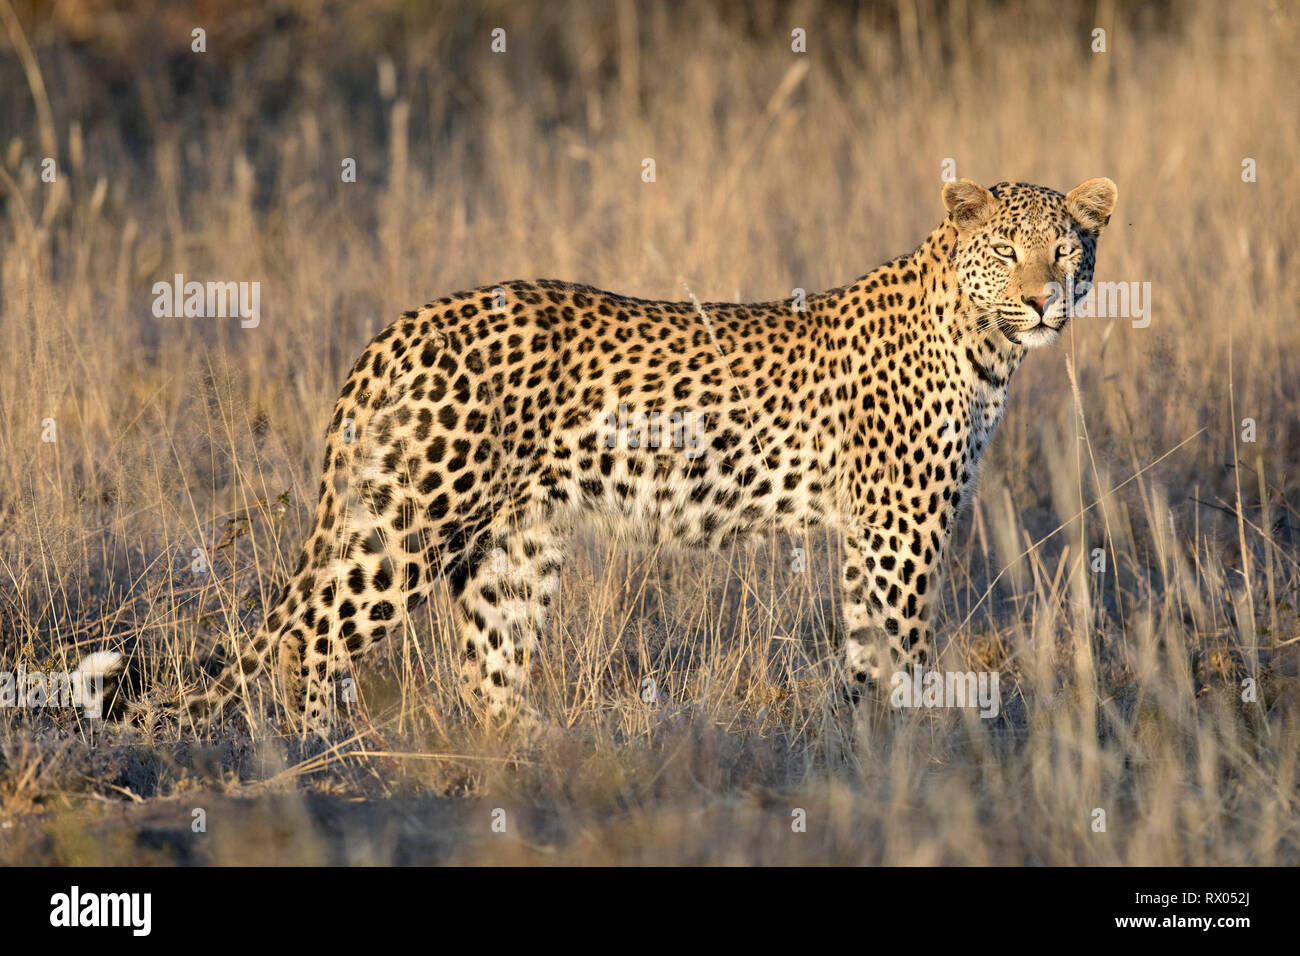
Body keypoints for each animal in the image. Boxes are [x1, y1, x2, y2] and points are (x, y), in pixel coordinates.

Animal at [77, 177, 1117, 735]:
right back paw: (323, 762)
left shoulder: (875, 533)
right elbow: (898, 653)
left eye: (1067, 252)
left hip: (512, 543)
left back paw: (536, 755)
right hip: (408, 524)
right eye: (1009, 251)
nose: (1044, 301)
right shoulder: (901, 529)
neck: (983, 344)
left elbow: (867, 653)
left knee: (486, 672)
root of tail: (400, 328)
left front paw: (863, 748)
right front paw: (909, 758)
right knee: (309, 641)